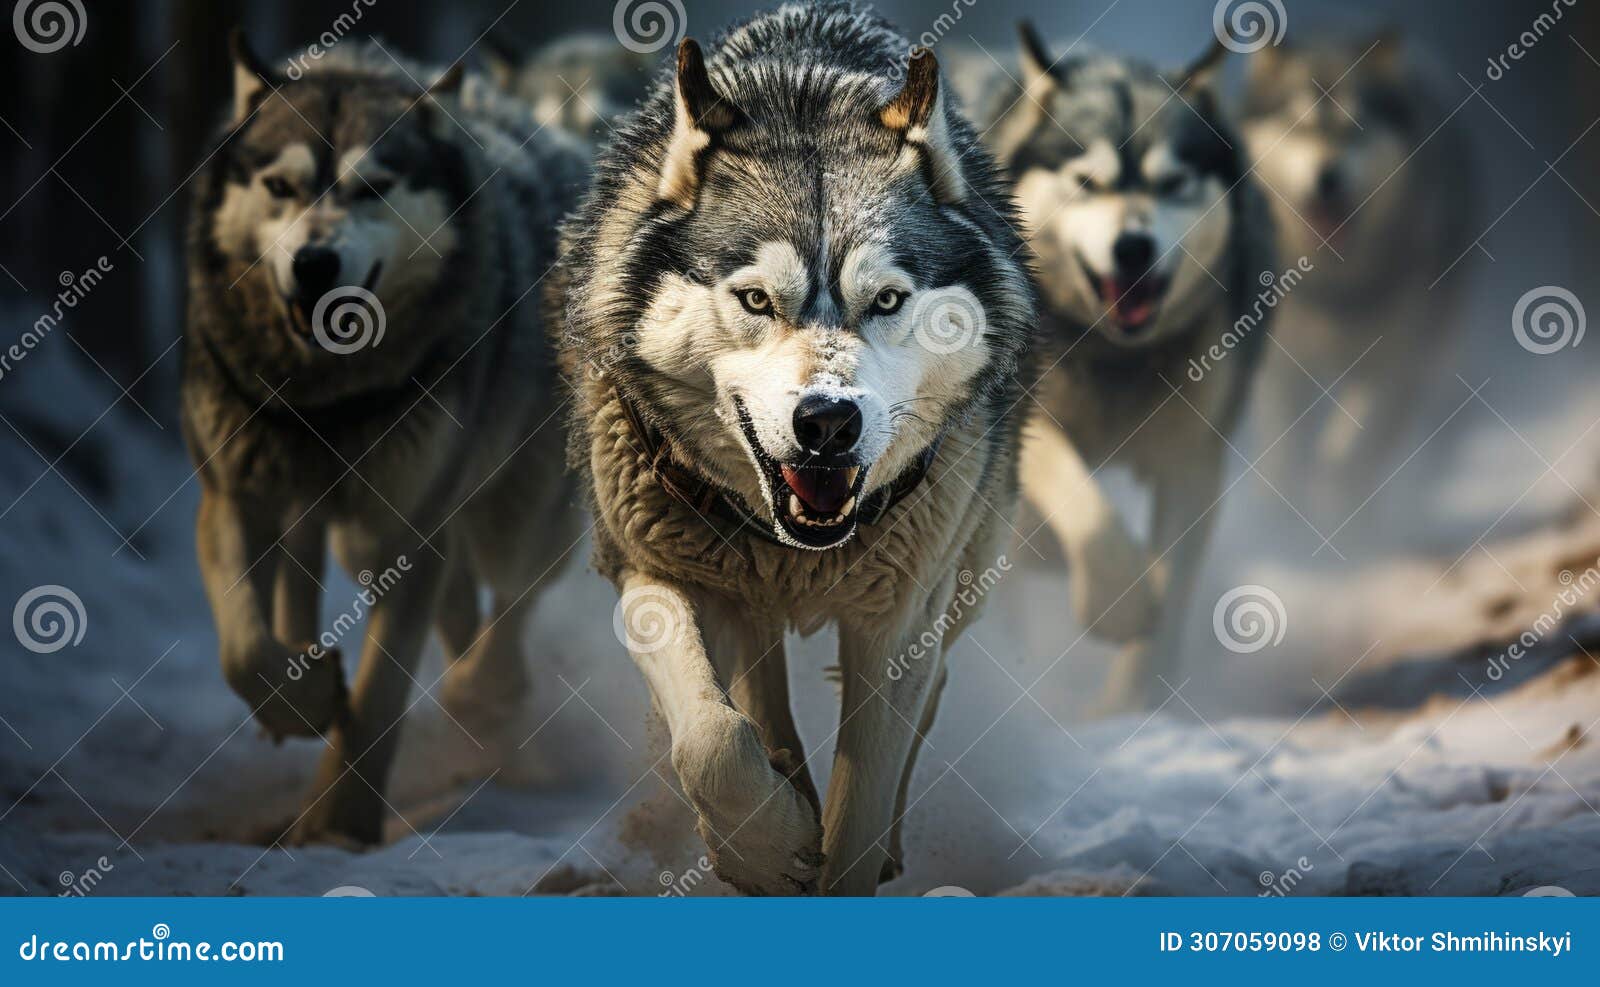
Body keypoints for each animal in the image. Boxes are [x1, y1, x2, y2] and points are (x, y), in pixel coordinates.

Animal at [181, 33, 588, 845]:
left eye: (374, 189)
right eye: (280, 186)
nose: (313, 264)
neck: (329, 397)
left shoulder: (410, 530)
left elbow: (378, 700)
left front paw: (339, 826)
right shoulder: (235, 496)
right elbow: (245, 649)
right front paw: (303, 699)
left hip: (507, 512)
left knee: (511, 594)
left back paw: (486, 697)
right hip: (357, 527)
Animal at [550, 3, 1035, 894]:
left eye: (887, 301)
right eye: (754, 299)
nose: (828, 421)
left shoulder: (896, 616)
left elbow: (863, 796)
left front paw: (834, 853)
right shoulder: (648, 568)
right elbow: (714, 739)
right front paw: (767, 847)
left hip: (964, 570)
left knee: (930, 688)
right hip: (739, 594)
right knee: (759, 702)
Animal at [961, 25, 1275, 713]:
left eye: (1173, 183)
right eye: (1086, 181)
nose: (1133, 248)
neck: (1112, 354)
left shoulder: (1191, 459)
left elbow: (1172, 583)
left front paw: (1132, 702)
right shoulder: (1027, 424)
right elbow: (1088, 511)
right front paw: (1116, 602)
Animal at [1242, 32, 1476, 524]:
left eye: (1356, 128)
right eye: (1299, 126)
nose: (1328, 177)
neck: (1333, 286)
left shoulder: (1396, 364)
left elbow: (1352, 451)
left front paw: (1338, 510)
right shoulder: (1281, 367)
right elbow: (1284, 452)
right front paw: (1279, 518)